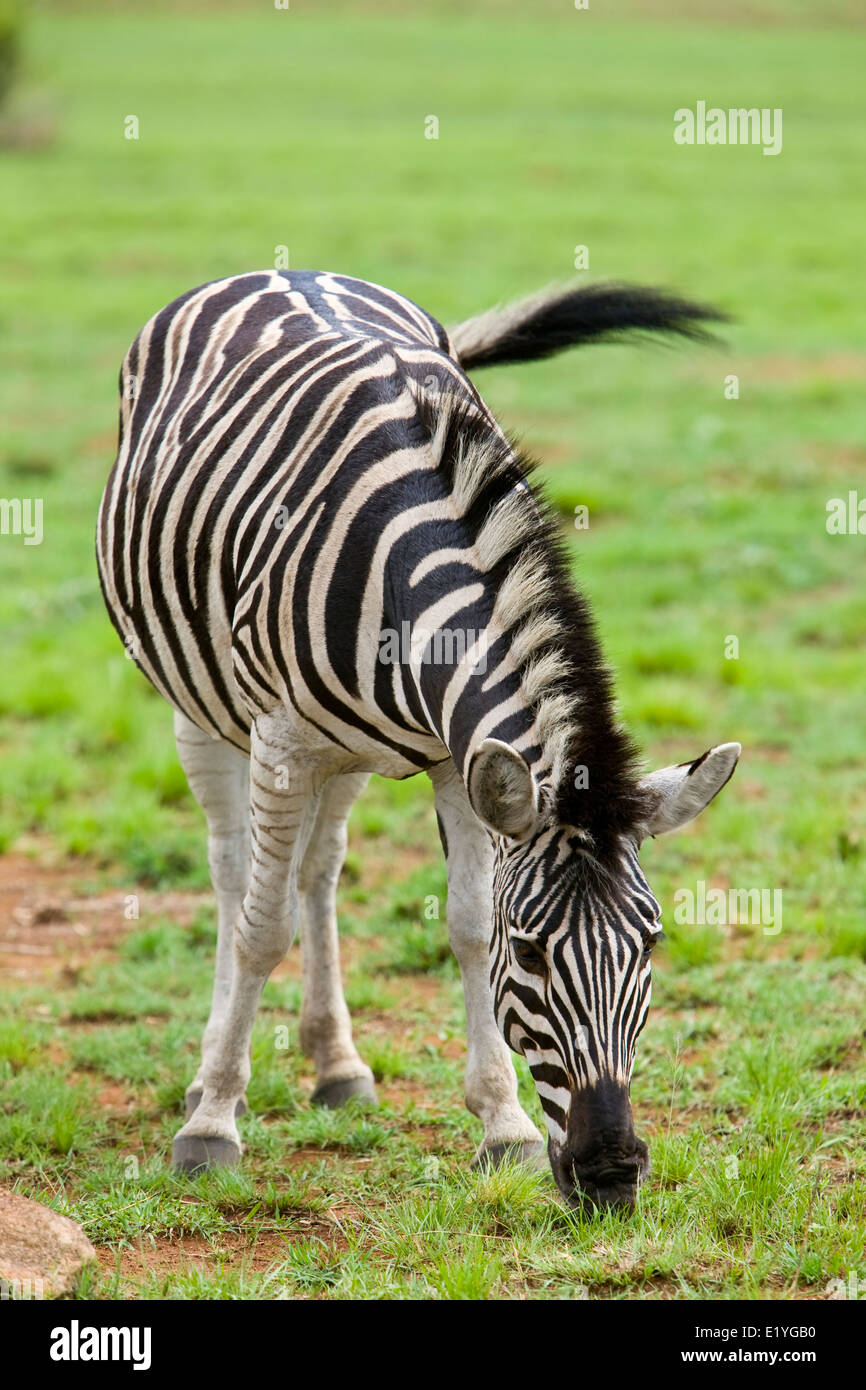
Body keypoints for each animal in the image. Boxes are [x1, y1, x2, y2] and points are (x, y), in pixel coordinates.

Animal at [96, 269, 740, 1211]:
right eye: (534, 953)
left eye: (650, 943)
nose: (612, 1175)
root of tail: (278, 269)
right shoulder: (282, 740)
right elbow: (260, 928)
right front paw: (212, 1124)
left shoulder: (454, 756)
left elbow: (465, 922)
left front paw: (503, 1128)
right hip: (203, 704)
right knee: (233, 874)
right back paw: (215, 1074)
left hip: (345, 751)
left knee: (318, 868)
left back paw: (336, 1065)